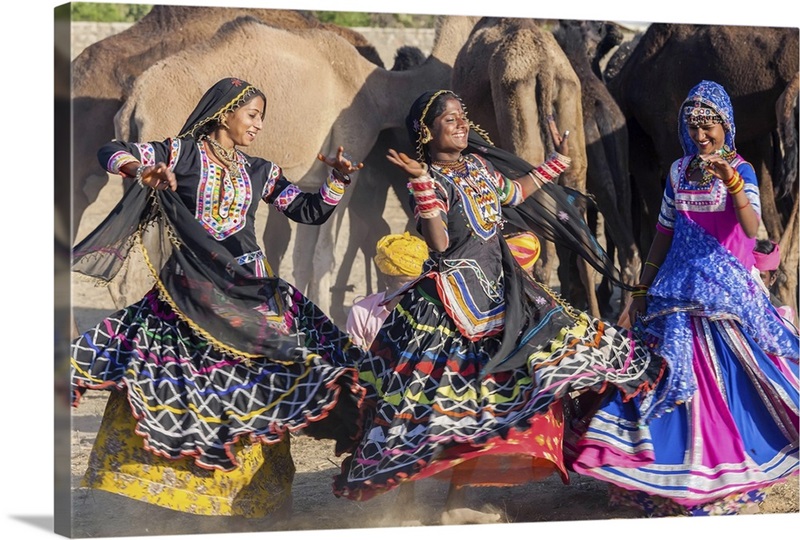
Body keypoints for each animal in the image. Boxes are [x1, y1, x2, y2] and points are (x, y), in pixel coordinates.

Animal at [115, 15, 481, 314]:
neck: (378, 92)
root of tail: (134, 102)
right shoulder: (351, 149)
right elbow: (323, 257)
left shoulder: (309, 181)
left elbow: (303, 258)